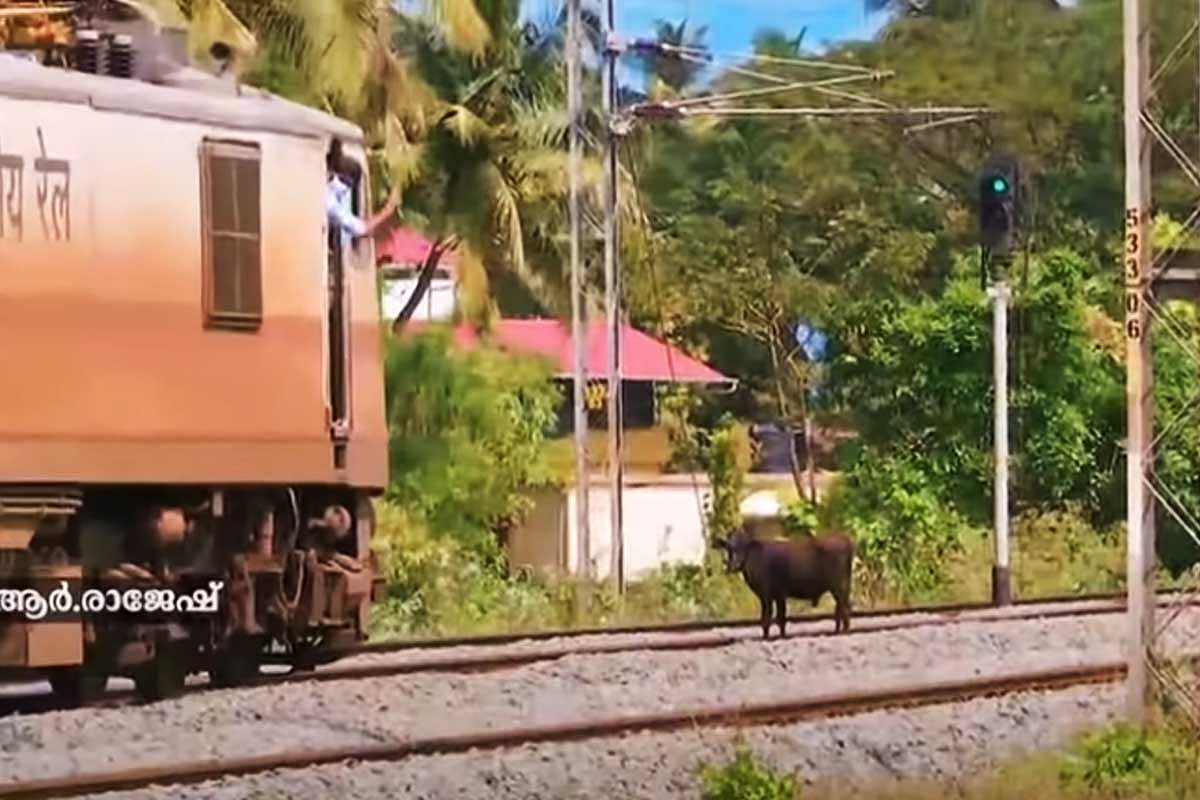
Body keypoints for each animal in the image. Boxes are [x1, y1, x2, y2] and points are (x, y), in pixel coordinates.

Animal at [713, 528, 854, 640]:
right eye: (729, 547)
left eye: (745, 546)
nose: (735, 565)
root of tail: (844, 537)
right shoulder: (775, 595)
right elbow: (778, 617)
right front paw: (779, 635)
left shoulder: (768, 594)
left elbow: (769, 617)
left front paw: (768, 637)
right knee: (840, 609)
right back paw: (837, 631)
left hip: (839, 586)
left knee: (844, 609)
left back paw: (843, 631)